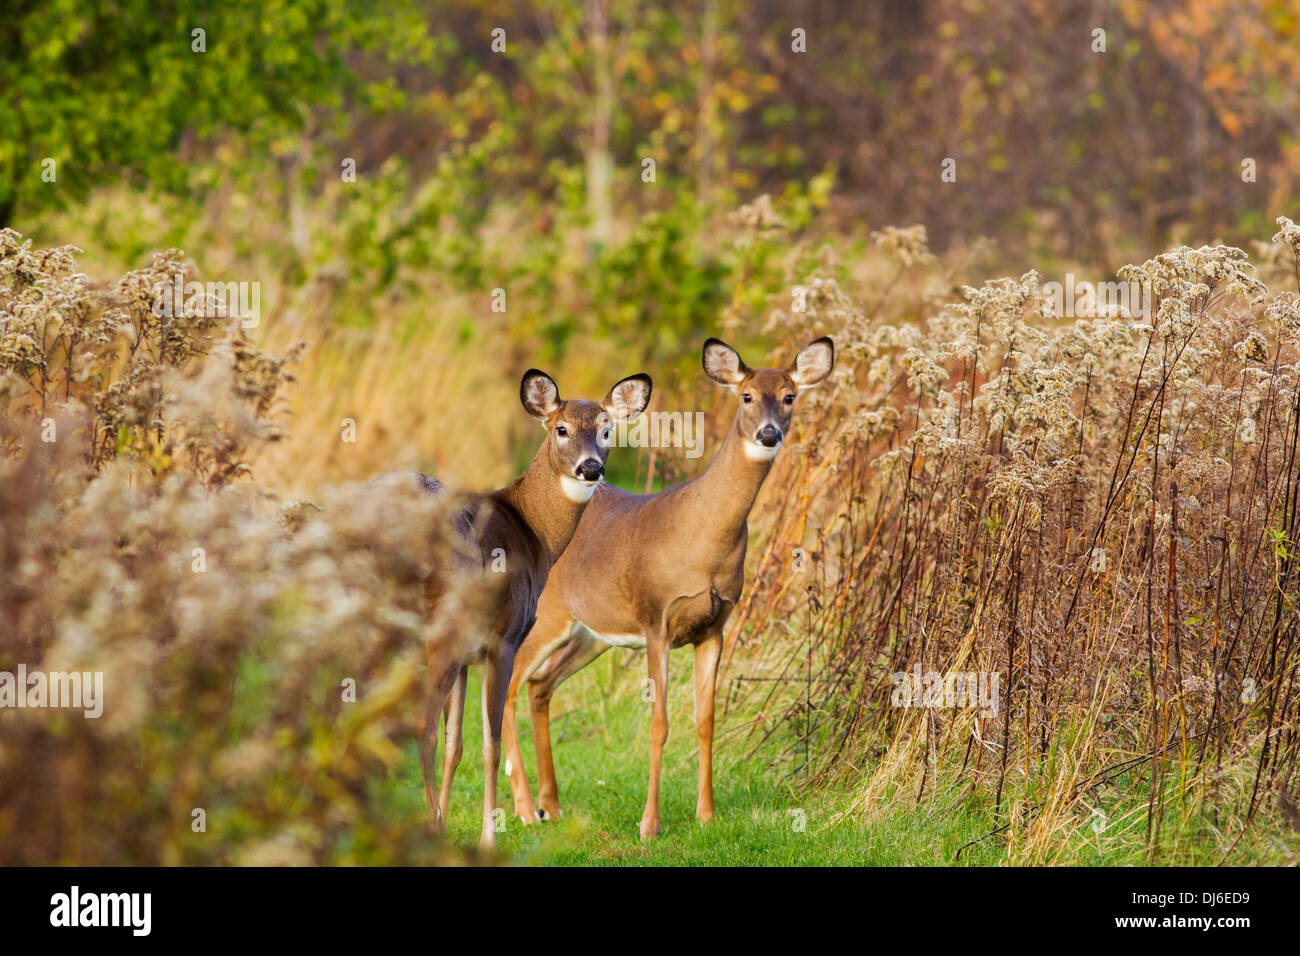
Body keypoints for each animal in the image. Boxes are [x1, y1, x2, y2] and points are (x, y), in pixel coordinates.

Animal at [372, 367, 651, 849]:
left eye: (606, 429)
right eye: (561, 429)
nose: (590, 467)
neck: (533, 532)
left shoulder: (469, 657)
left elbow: (456, 745)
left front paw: (446, 822)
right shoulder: (501, 640)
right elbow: (488, 742)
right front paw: (487, 835)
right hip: (435, 631)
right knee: (418, 731)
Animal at [499, 336, 834, 838]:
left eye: (790, 396)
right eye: (746, 396)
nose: (769, 434)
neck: (702, 537)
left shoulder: (715, 626)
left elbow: (705, 719)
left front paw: (707, 815)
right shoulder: (656, 618)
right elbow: (660, 724)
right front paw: (649, 825)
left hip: (591, 633)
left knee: (540, 686)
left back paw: (551, 805)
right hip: (547, 616)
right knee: (510, 688)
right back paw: (524, 807)